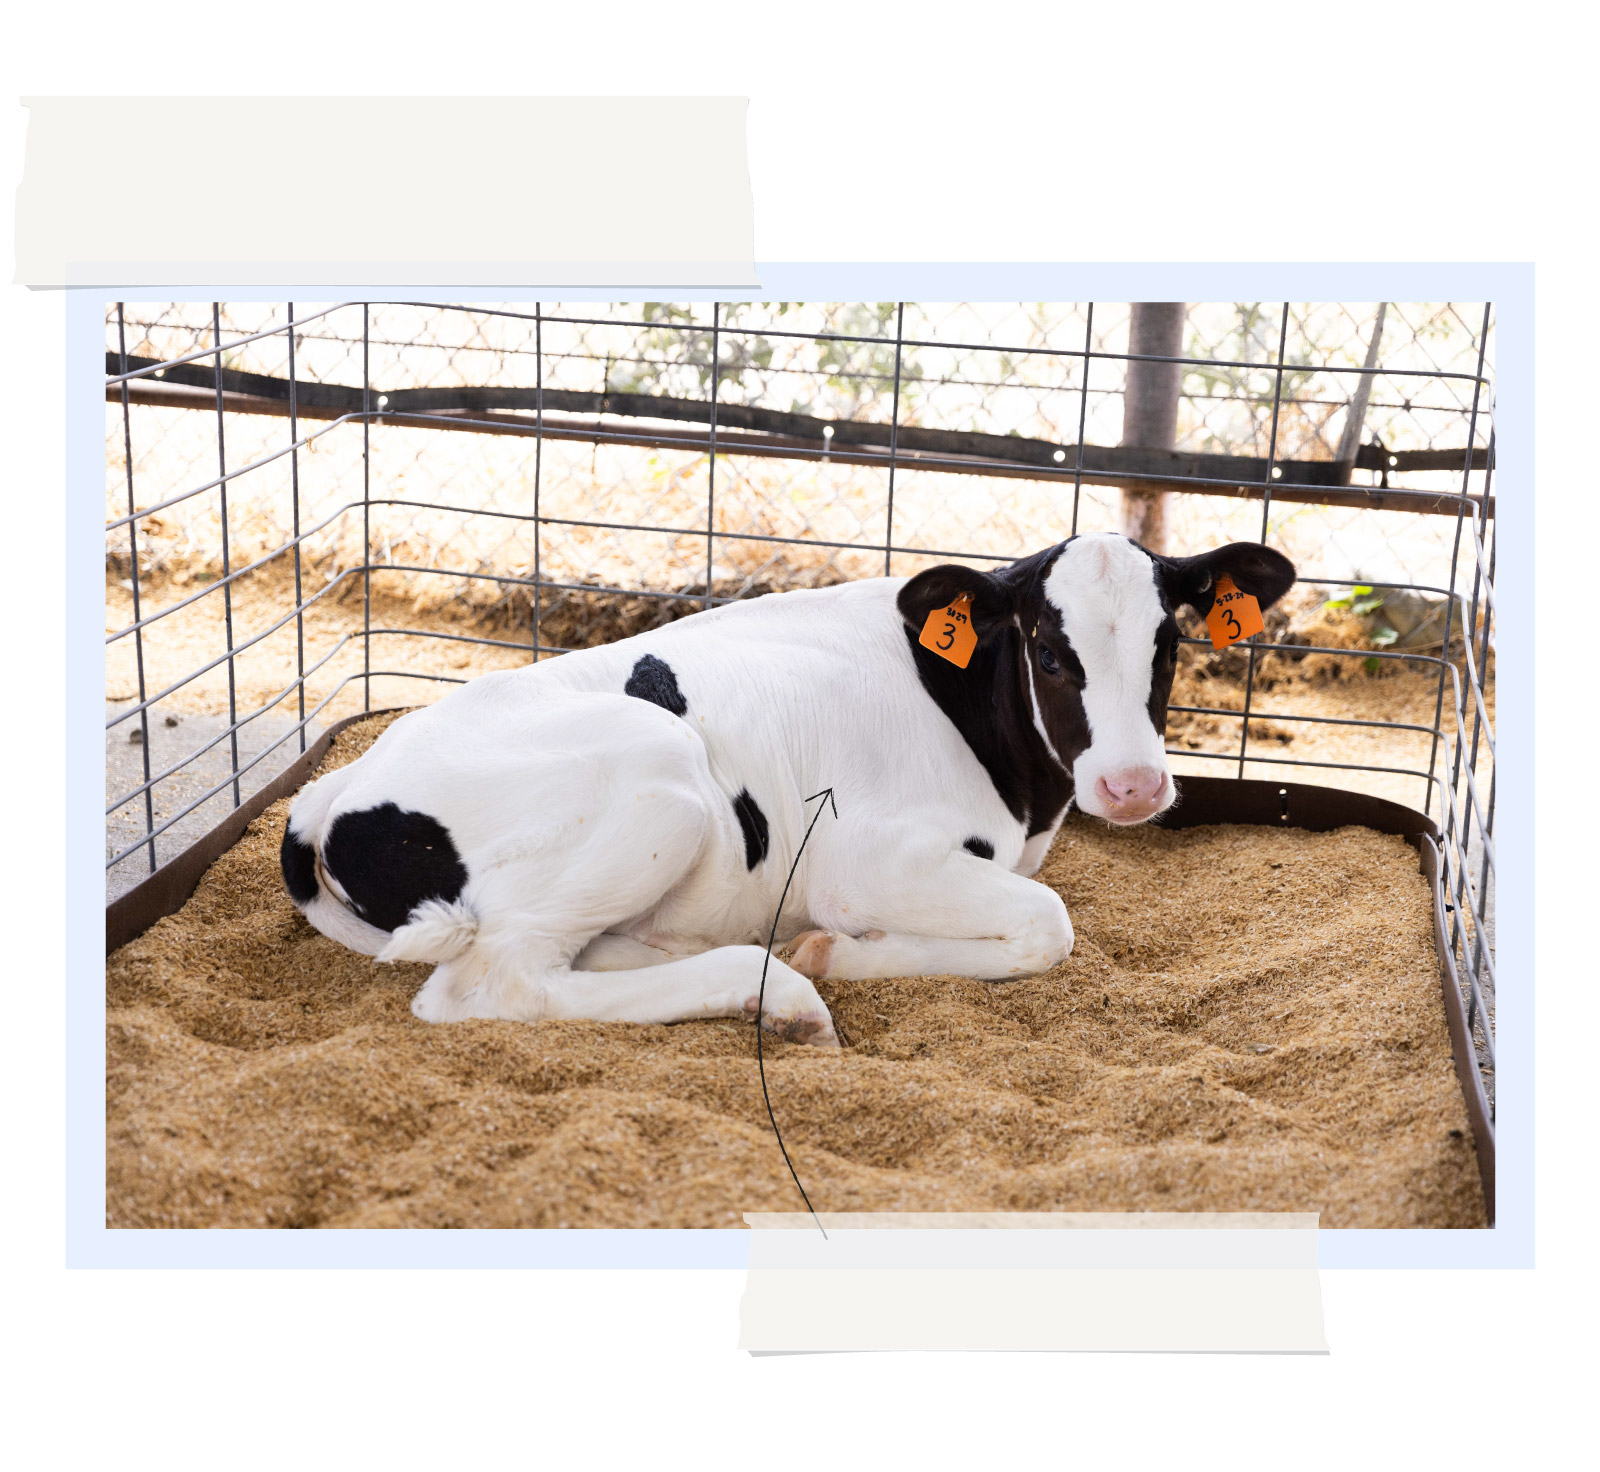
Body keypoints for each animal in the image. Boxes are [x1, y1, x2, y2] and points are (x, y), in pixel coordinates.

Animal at [281, 532, 1295, 1044]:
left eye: (1169, 643)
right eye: (1049, 649)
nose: (1133, 785)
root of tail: (335, 789)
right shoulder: (868, 860)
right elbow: (1048, 924)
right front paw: (835, 954)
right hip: (661, 777)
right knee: (494, 984)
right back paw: (778, 992)